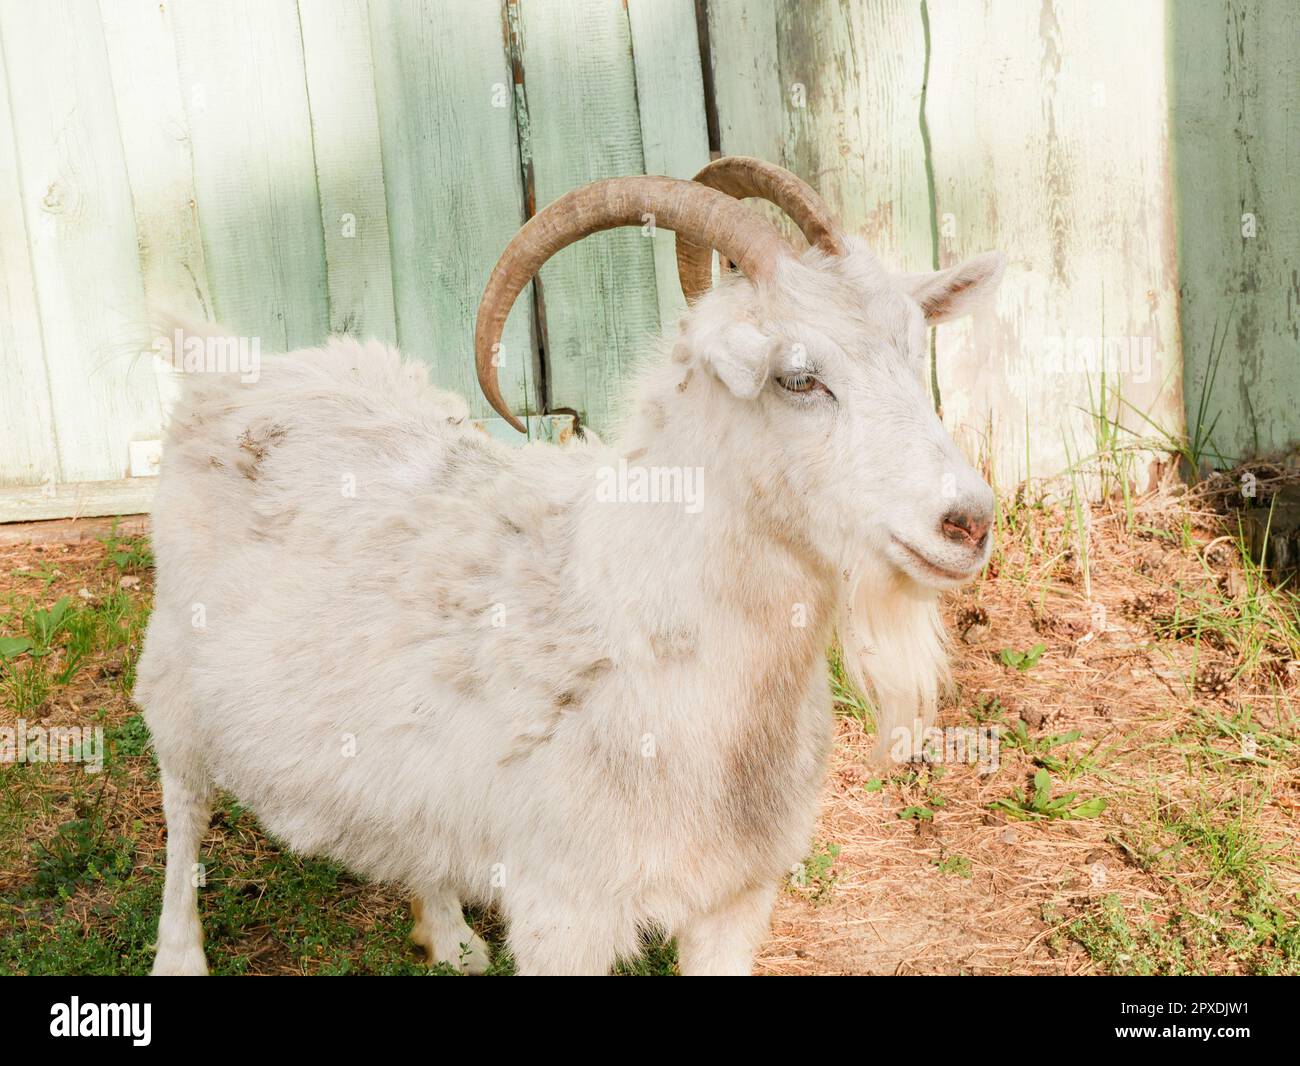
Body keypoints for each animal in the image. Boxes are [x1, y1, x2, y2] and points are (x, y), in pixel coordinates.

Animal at [137, 158, 1003, 976]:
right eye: (798, 378)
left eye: (914, 350)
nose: (968, 522)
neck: (624, 622)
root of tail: (227, 373)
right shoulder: (564, 912)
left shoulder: (736, 896)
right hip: (175, 674)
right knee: (184, 808)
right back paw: (179, 953)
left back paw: (446, 933)